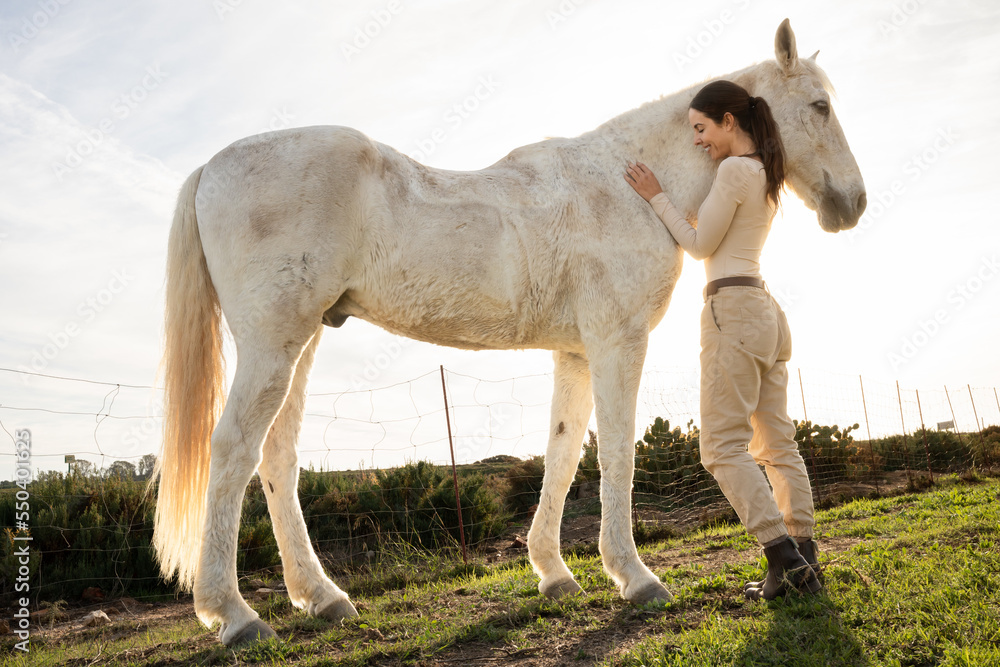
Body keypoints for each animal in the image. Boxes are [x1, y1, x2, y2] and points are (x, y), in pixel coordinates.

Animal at [153, 19, 866, 646]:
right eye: (821, 105)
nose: (852, 204)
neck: (626, 184)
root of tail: (211, 167)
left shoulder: (576, 353)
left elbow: (562, 454)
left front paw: (555, 574)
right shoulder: (617, 344)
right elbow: (617, 455)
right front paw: (635, 578)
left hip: (301, 343)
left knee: (278, 458)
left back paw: (322, 598)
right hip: (273, 344)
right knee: (235, 450)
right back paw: (236, 616)